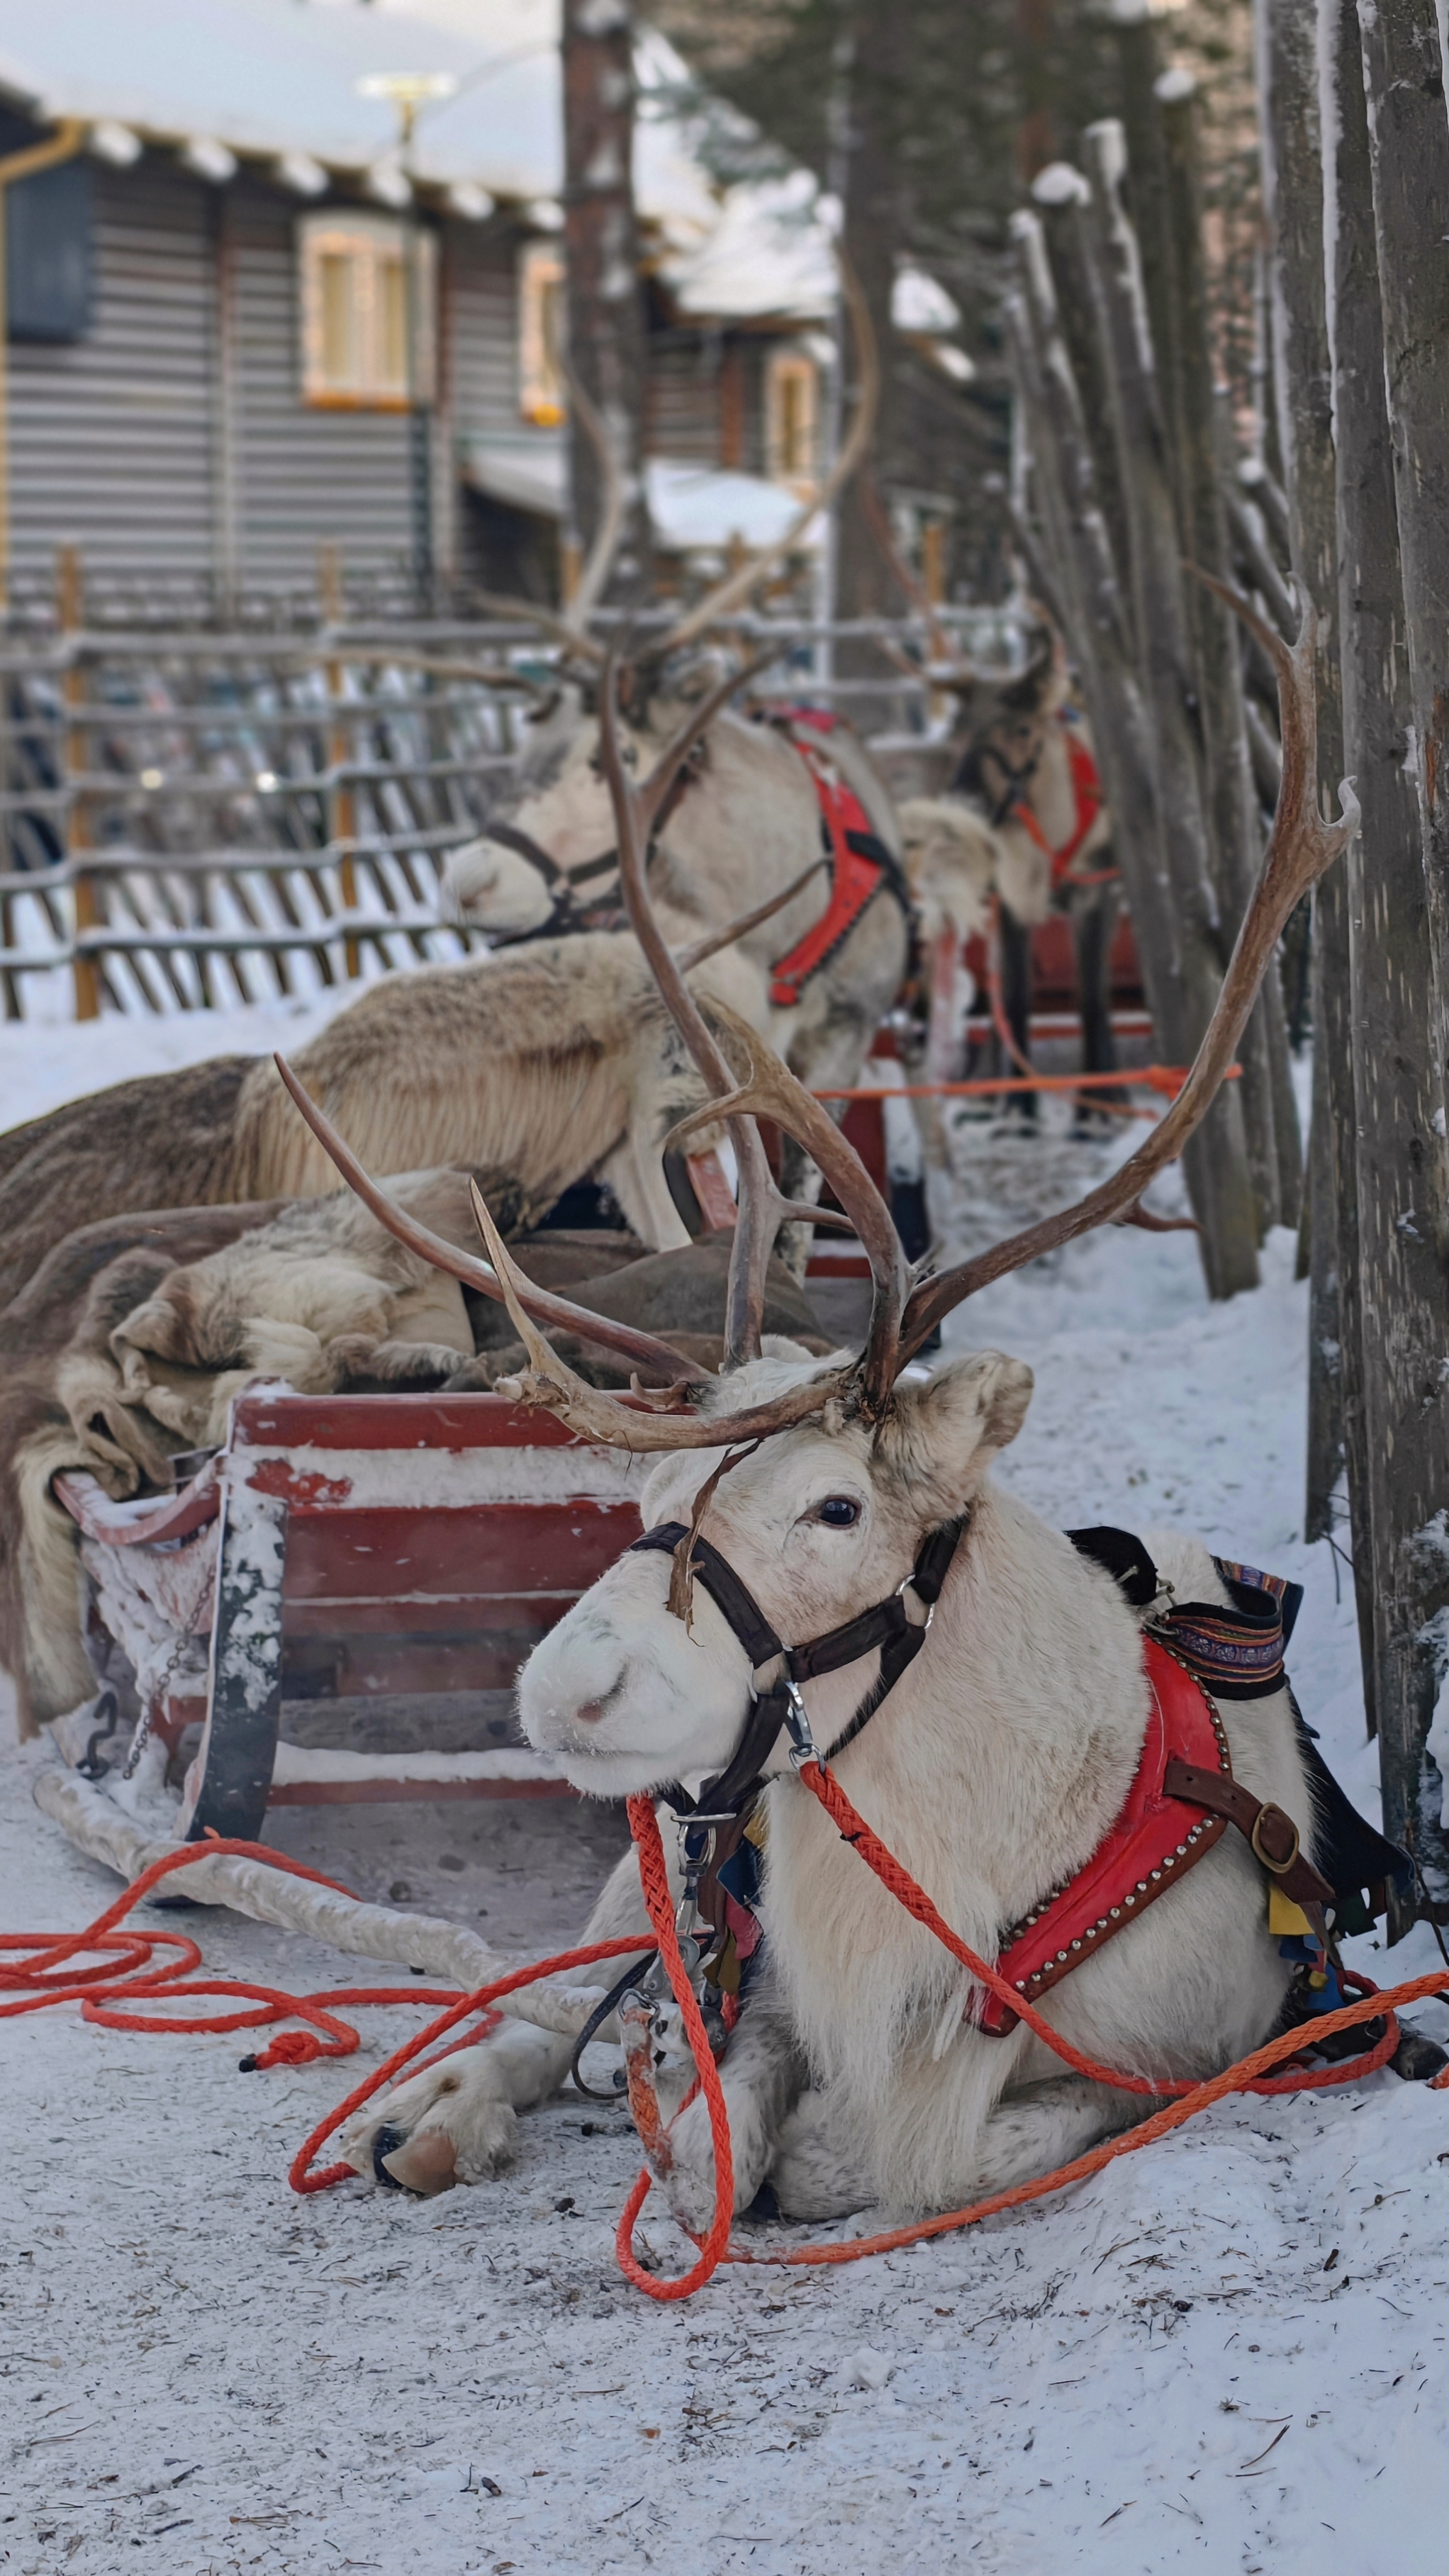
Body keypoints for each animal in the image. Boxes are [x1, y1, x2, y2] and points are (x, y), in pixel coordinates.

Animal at [277, 592, 1382, 2227]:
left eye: (835, 1503)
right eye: (644, 1506)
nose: (563, 1691)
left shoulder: (1196, 2054)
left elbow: (900, 2146)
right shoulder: (762, 1982)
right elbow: (710, 2134)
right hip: (650, 1865)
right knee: (555, 2000)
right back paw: (433, 2106)